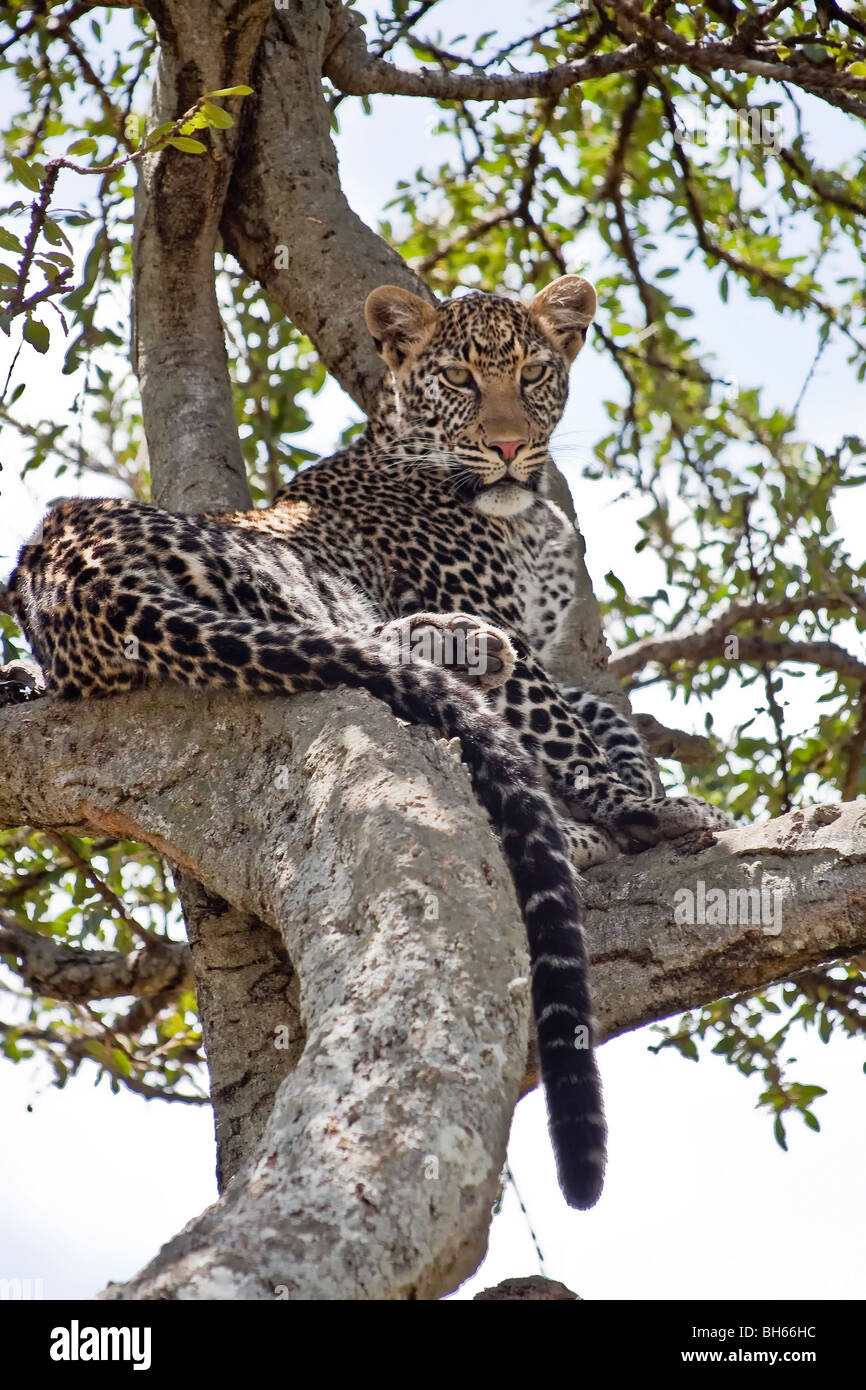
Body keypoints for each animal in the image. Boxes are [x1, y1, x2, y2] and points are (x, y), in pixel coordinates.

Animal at [3, 275, 731, 1210]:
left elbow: (604, 719)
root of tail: (68, 578)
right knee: (402, 673)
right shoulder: (502, 626)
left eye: (533, 373)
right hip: (288, 573)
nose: (507, 445)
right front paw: (641, 810)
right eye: (458, 378)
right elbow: (562, 728)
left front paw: (642, 785)